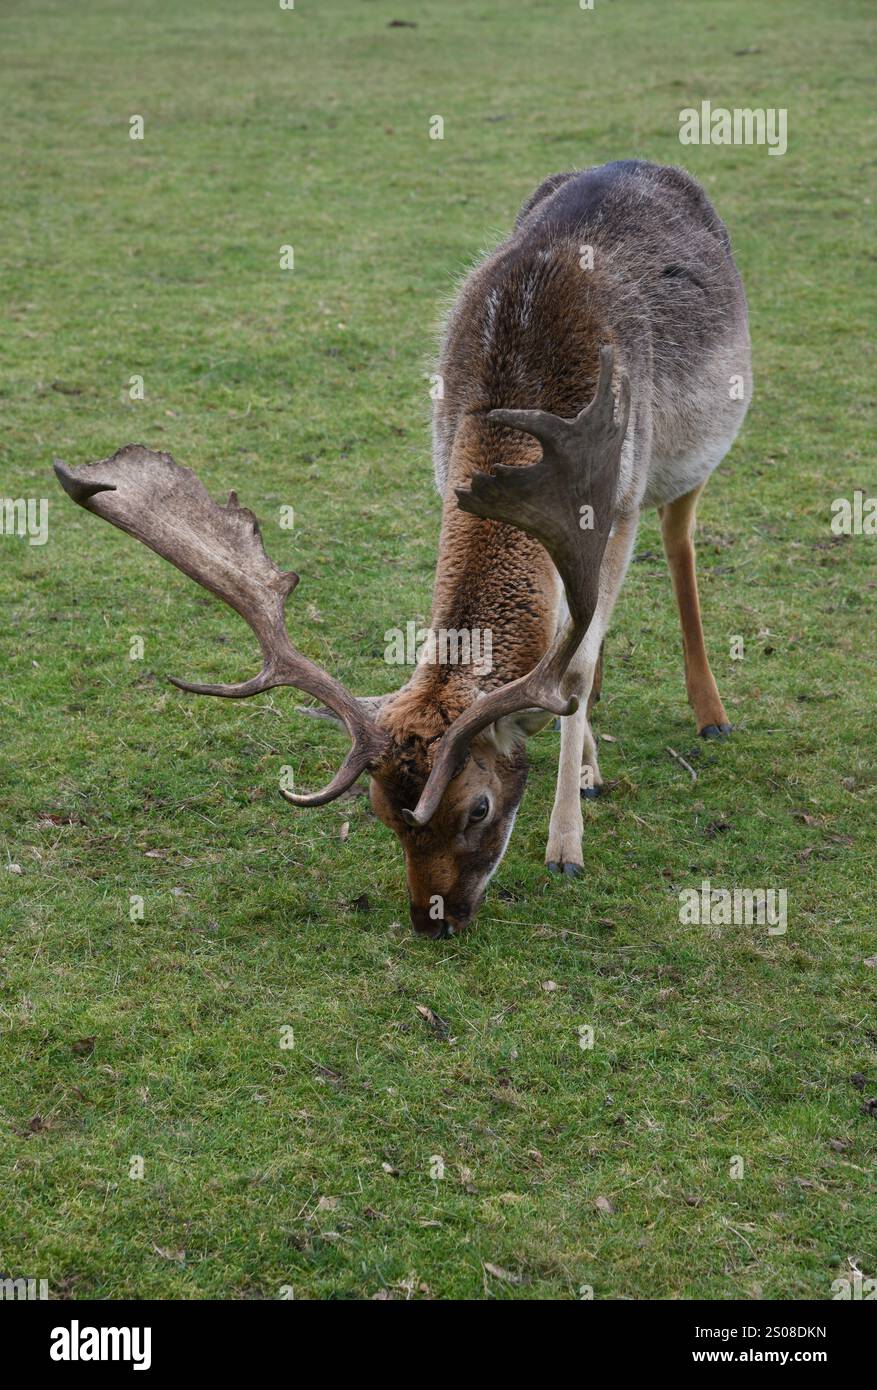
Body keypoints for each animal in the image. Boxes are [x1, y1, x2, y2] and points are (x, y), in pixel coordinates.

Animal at [55, 159, 751, 940]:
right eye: (382, 813)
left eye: (477, 808)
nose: (431, 920)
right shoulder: (446, 471)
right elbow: (568, 656)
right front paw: (583, 760)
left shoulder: (618, 502)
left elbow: (575, 656)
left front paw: (566, 847)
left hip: (689, 463)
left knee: (679, 541)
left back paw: (709, 713)